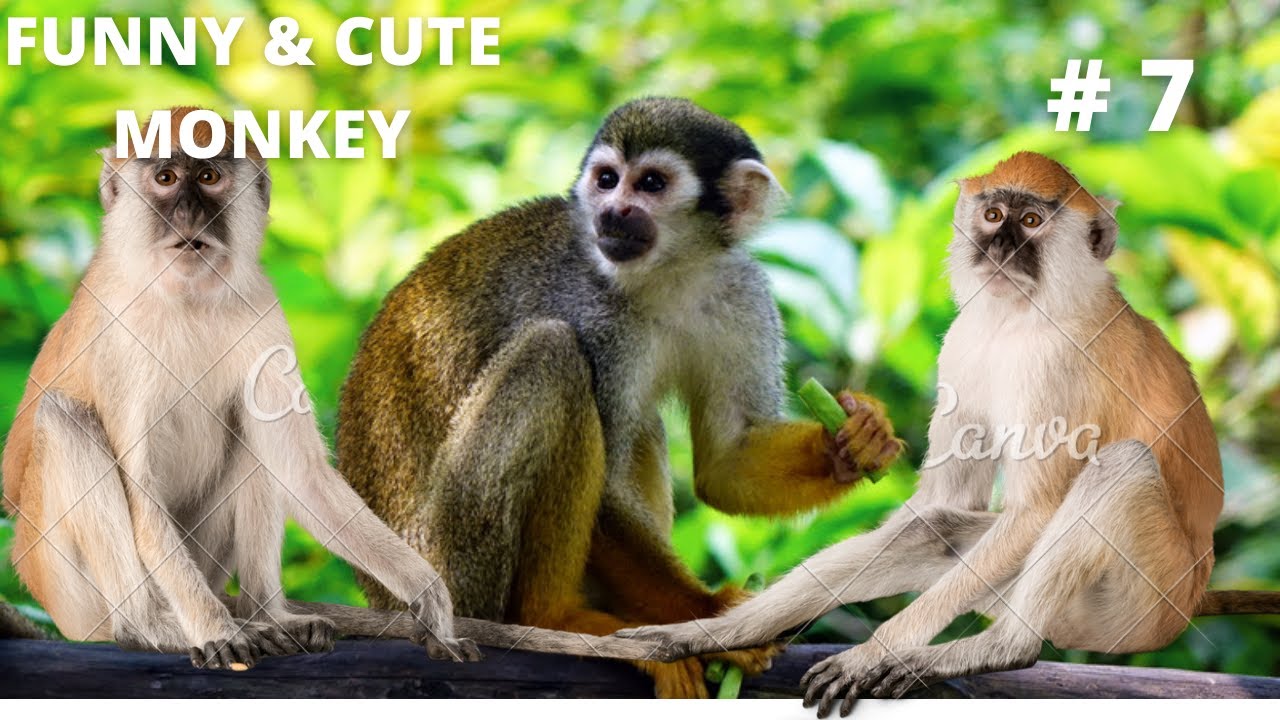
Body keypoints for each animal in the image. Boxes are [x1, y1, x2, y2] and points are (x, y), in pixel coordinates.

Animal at [335, 97, 904, 698]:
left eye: (651, 183)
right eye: (607, 180)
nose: (613, 212)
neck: (668, 275)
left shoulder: (741, 293)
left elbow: (727, 463)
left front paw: (854, 441)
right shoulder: (592, 312)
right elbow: (606, 492)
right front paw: (711, 620)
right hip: (453, 575)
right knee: (552, 354)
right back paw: (554, 620)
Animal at [618, 151, 1280, 712]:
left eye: (1032, 221)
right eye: (992, 214)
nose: (1002, 245)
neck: (1022, 315)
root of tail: (1193, 590)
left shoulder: (1058, 363)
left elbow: (1038, 507)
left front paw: (875, 653)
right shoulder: (964, 343)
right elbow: (937, 505)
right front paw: (706, 633)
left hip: (1141, 600)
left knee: (1124, 466)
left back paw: (1000, 648)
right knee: (934, 529)